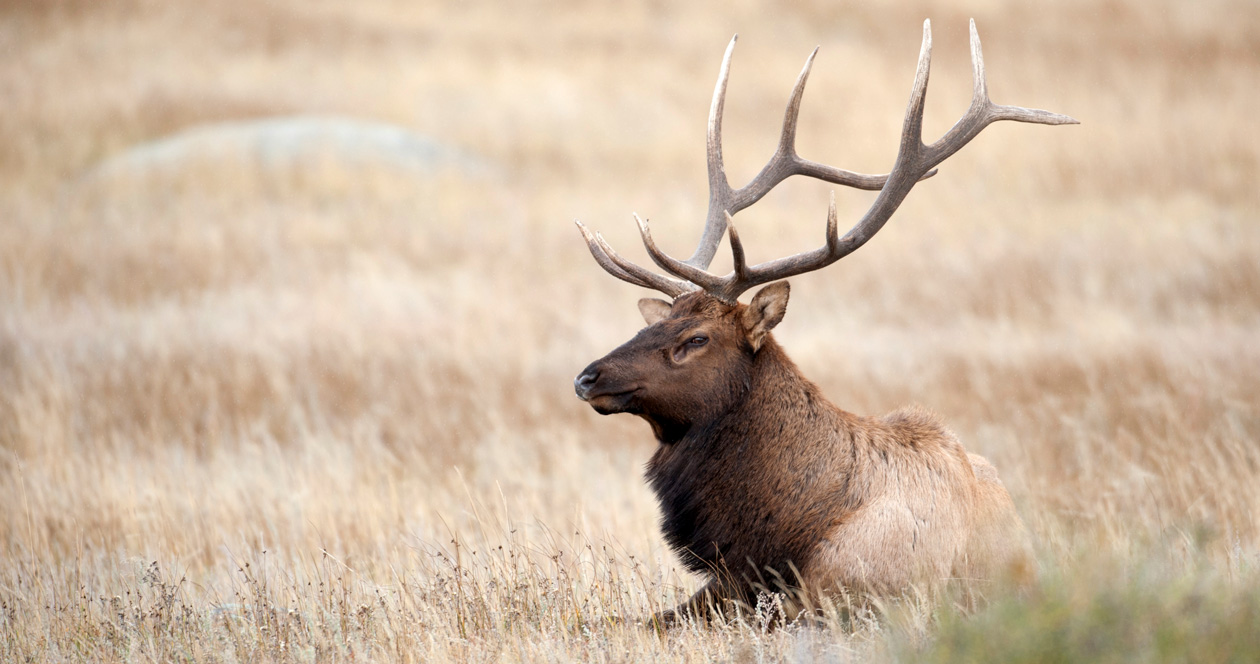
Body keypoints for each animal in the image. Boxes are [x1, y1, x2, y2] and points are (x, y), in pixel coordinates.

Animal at [572, 20, 1075, 626]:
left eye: (695, 338)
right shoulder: (725, 587)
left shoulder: (853, 597)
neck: (781, 533)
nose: (588, 377)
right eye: (655, 324)